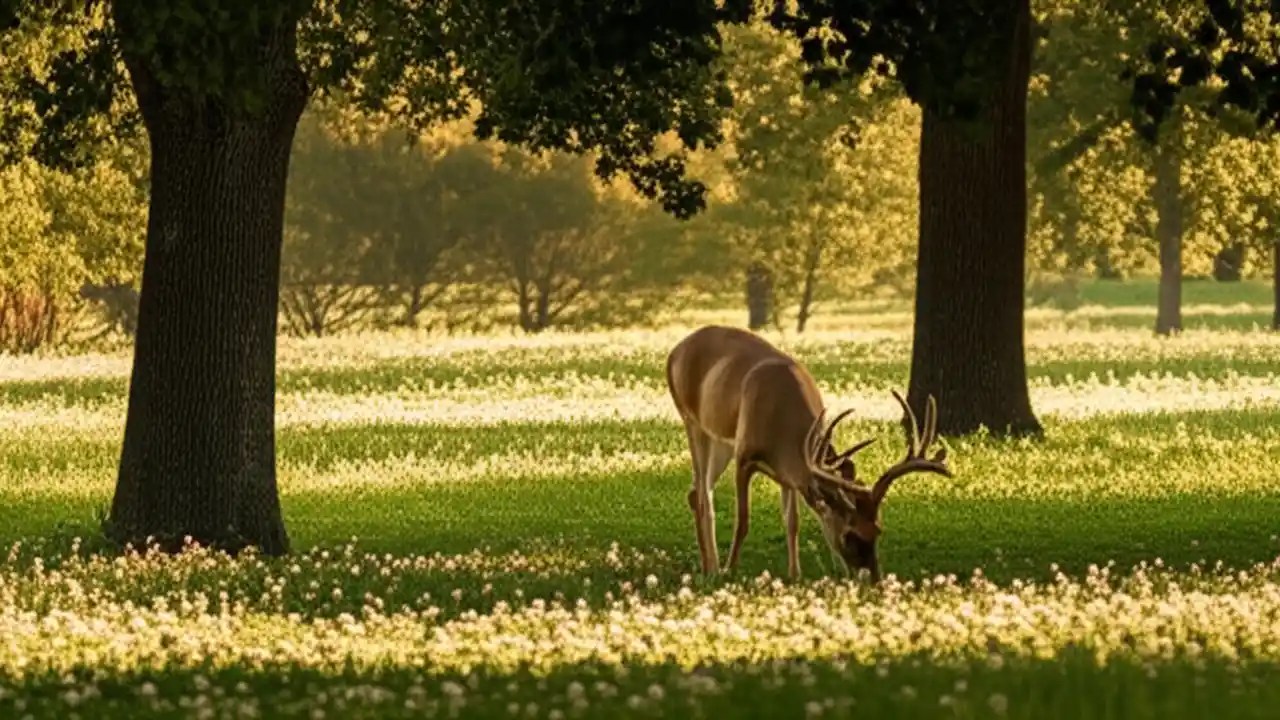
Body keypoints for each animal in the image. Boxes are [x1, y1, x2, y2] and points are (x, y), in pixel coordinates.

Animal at [665, 325, 952, 581]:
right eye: (850, 534)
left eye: (877, 530)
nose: (873, 578)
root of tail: (675, 351)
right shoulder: (745, 455)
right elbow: (743, 520)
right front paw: (731, 570)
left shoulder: (789, 472)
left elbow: (793, 522)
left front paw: (796, 574)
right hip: (692, 422)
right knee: (704, 496)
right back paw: (712, 568)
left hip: (720, 444)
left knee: (695, 492)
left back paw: (708, 564)